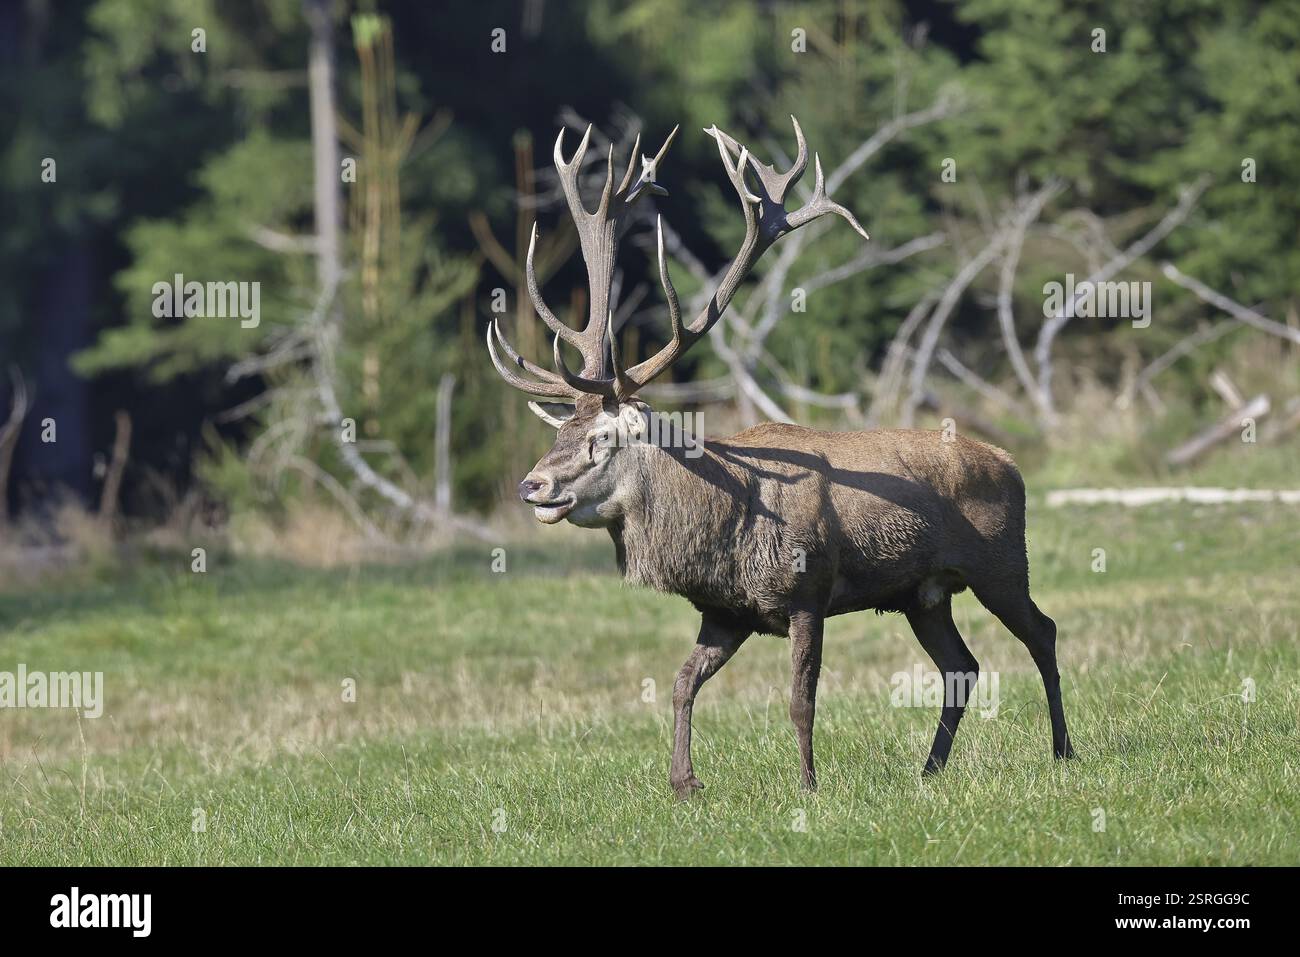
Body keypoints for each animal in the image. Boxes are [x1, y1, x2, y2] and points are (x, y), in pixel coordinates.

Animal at [487, 116, 1074, 800]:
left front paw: (808, 785)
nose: (532, 485)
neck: (723, 522)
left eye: (600, 439)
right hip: (922, 593)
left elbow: (800, 699)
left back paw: (1063, 750)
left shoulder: (806, 591)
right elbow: (682, 683)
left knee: (1042, 631)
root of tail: (1010, 462)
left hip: (1000, 563)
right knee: (963, 665)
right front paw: (684, 782)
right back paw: (930, 768)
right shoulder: (724, 612)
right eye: (561, 432)